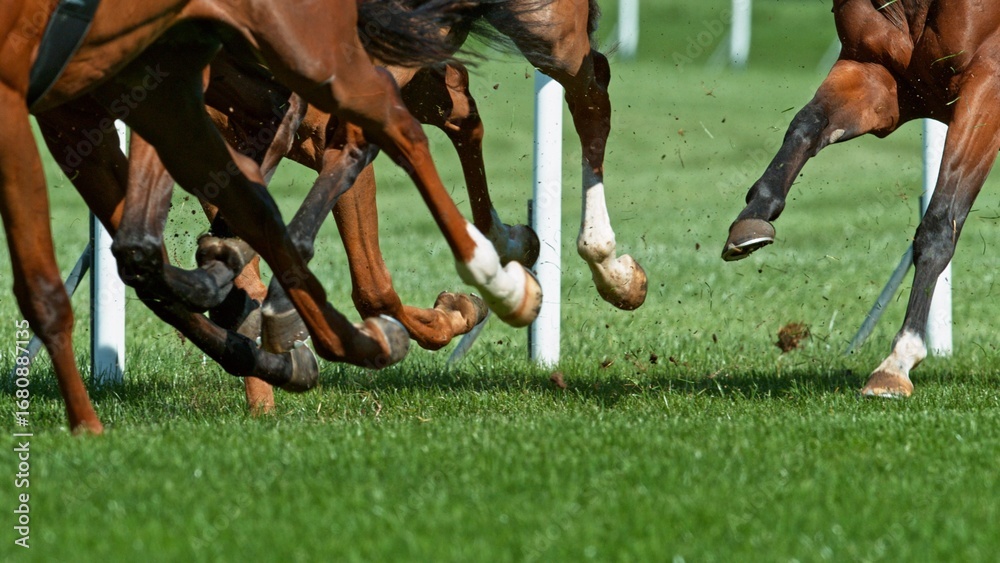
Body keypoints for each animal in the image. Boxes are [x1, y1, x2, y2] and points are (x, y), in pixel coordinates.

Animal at [61, 0, 648, 412]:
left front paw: (454, 310)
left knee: (590, 86)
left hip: (546, 29)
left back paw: (609, 267)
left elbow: (369, 284)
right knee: (461, 103)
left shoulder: (338, 131)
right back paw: (509, 240)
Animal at [721, 0, 1000, 397]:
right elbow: (808, 123)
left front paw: (899, 360)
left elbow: (939, 224)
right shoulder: (876, 73)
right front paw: (755, 214)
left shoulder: (986, 84)